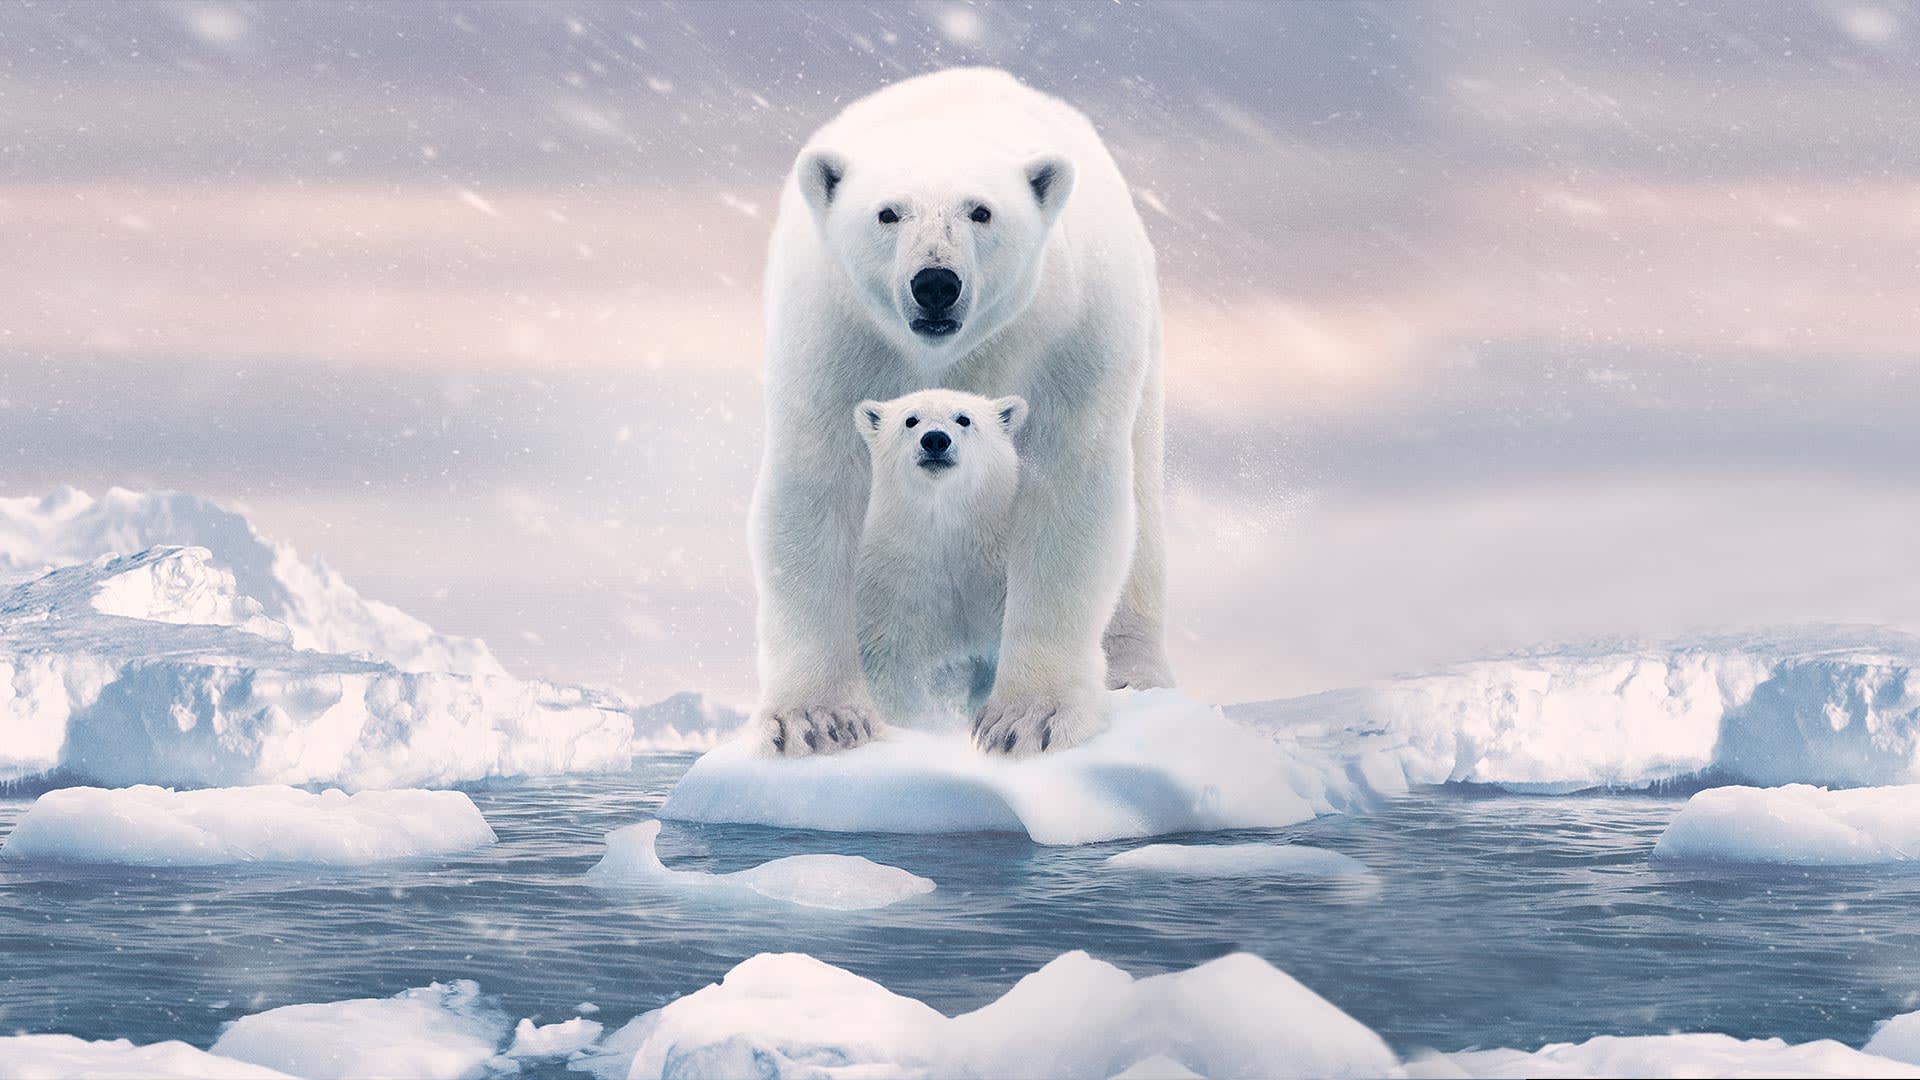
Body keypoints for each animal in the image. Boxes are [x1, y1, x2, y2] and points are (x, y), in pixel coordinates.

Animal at [850, 389, 1029, 739]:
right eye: (911, 419)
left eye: (963, 418)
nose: (935, 439)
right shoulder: (895, 585)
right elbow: (893, 666)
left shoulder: (997, 576)